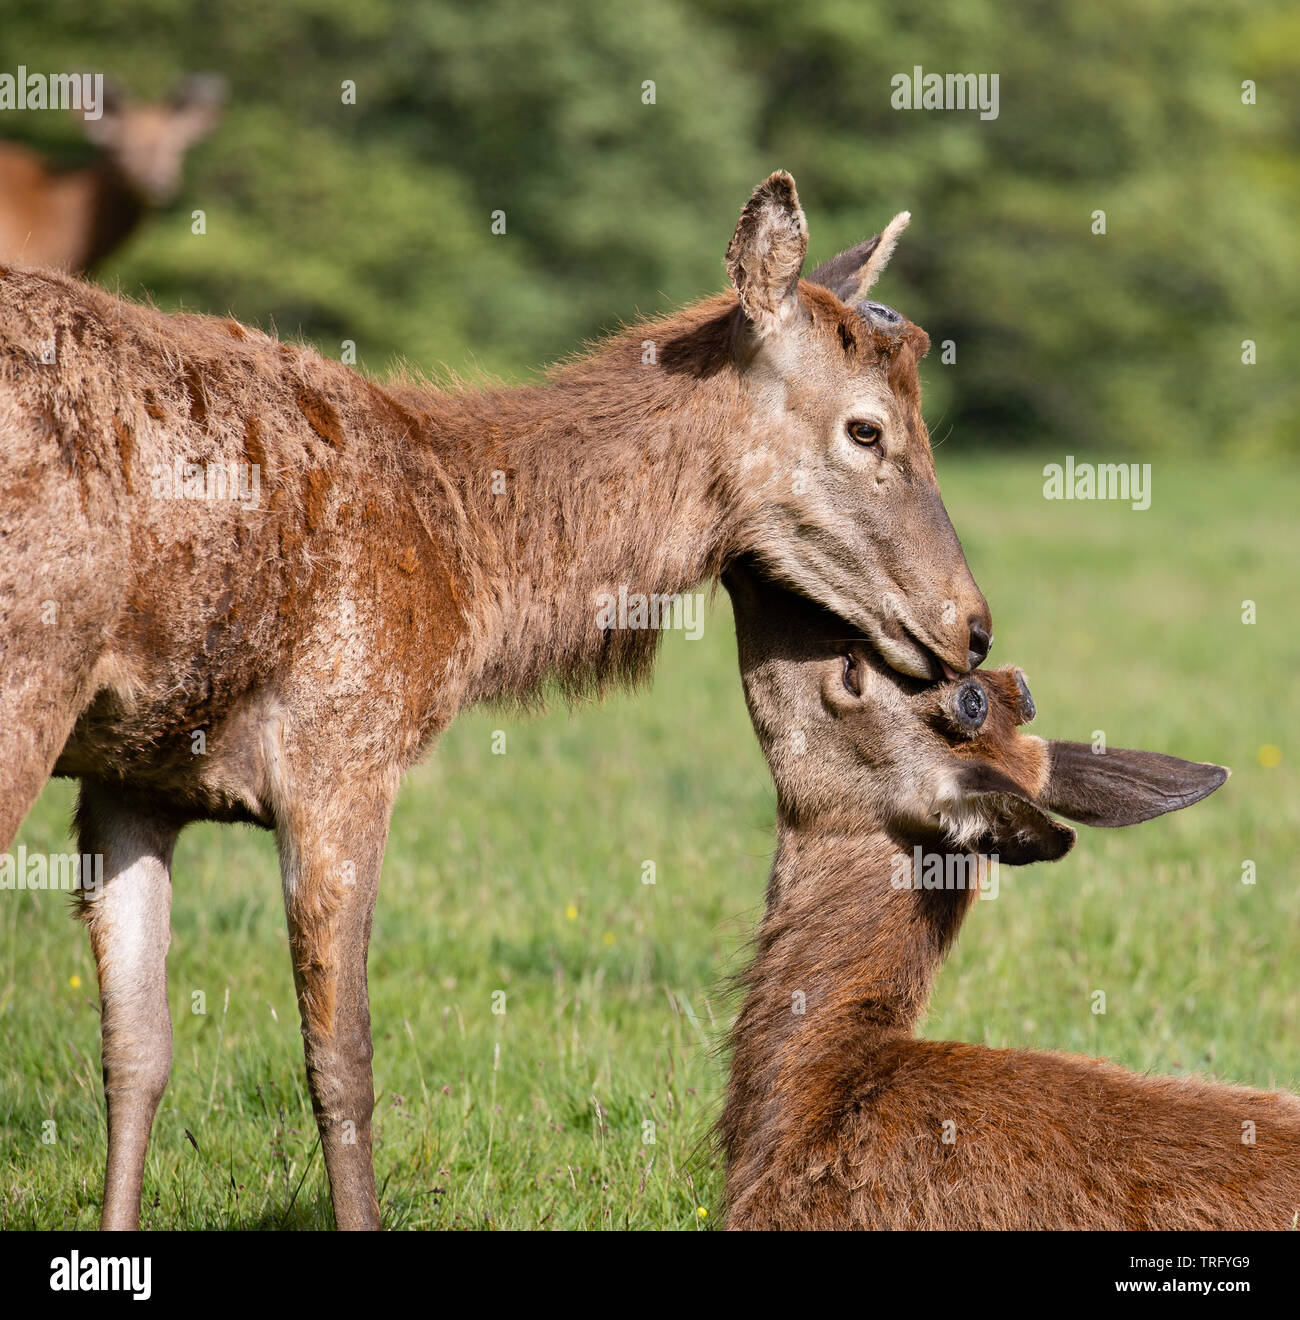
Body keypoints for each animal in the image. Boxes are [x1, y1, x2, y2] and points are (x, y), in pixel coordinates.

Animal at [0, 171, 993, 1230]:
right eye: (866, 427)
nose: (973, 626)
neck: (466, 571)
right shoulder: (343, 746)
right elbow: (342, 1062)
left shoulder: (133, 781)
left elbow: (136, 1054)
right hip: (31, 677)